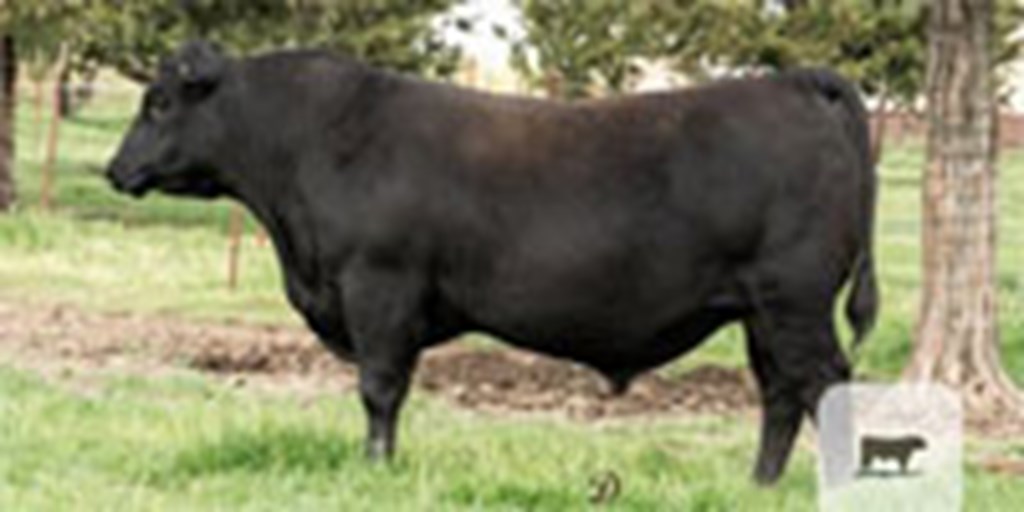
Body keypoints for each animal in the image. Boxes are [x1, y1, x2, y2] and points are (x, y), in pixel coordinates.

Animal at [106, 41, 878, 485]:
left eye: (159, 102)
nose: (115, 168)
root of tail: (794, 83)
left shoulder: (379, 289)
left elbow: (379, 389)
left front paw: (375, 471)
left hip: (795, 301)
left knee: (823, 385)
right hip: (762, 310)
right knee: (781, 395)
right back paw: (759, 486)